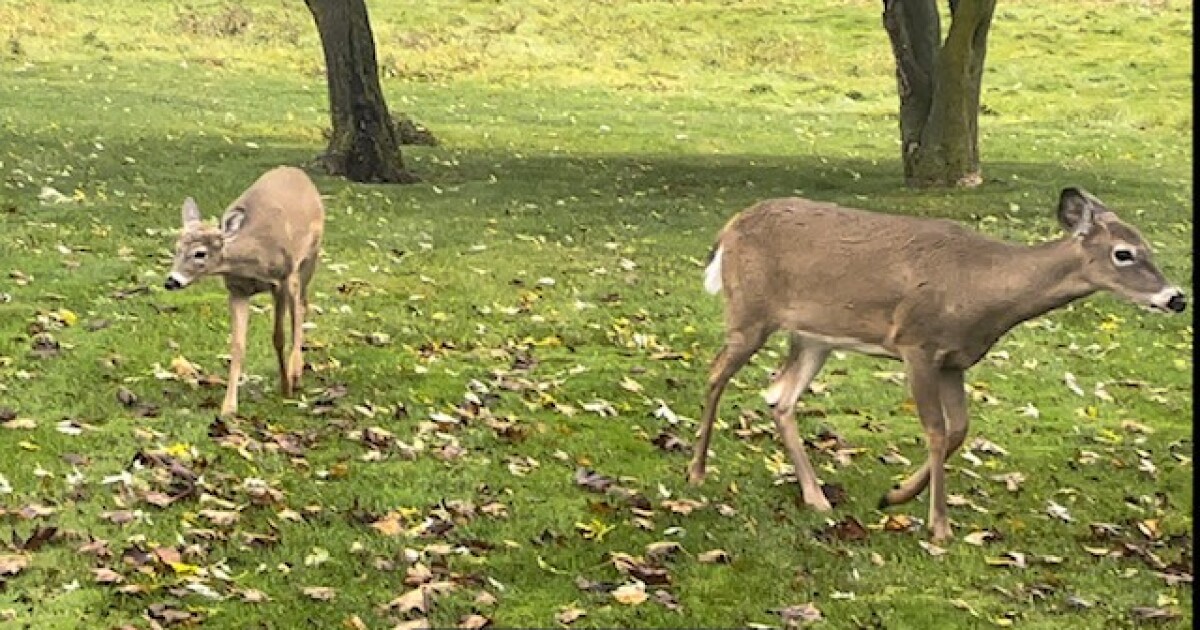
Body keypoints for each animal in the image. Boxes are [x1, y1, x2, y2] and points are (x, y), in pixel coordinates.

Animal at [163, 166, 325, 418]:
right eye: (177, 248)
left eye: (200, 253)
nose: (171, 281)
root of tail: (297, 172)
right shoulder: (237, 289)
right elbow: (237, 346)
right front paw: (229, 408)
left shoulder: (280, 281)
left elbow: (278, 336)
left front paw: (286, 386)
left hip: (308, 259)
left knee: (300, 307)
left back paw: (296, 372)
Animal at [687, 188, 1186, 542]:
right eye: (1124, 252)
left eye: (1149, 246)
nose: (1176, 298)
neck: (981, 289)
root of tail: (728, 230)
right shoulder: (916, 345)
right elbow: (936, 431)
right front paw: (939, 526)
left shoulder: (954, 362)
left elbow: (960, 430)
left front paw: (896, 494)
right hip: (749, 312)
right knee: (716, 374)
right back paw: (697, 472)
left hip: (813, 338)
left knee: (780, 396)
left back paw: (816, 497)